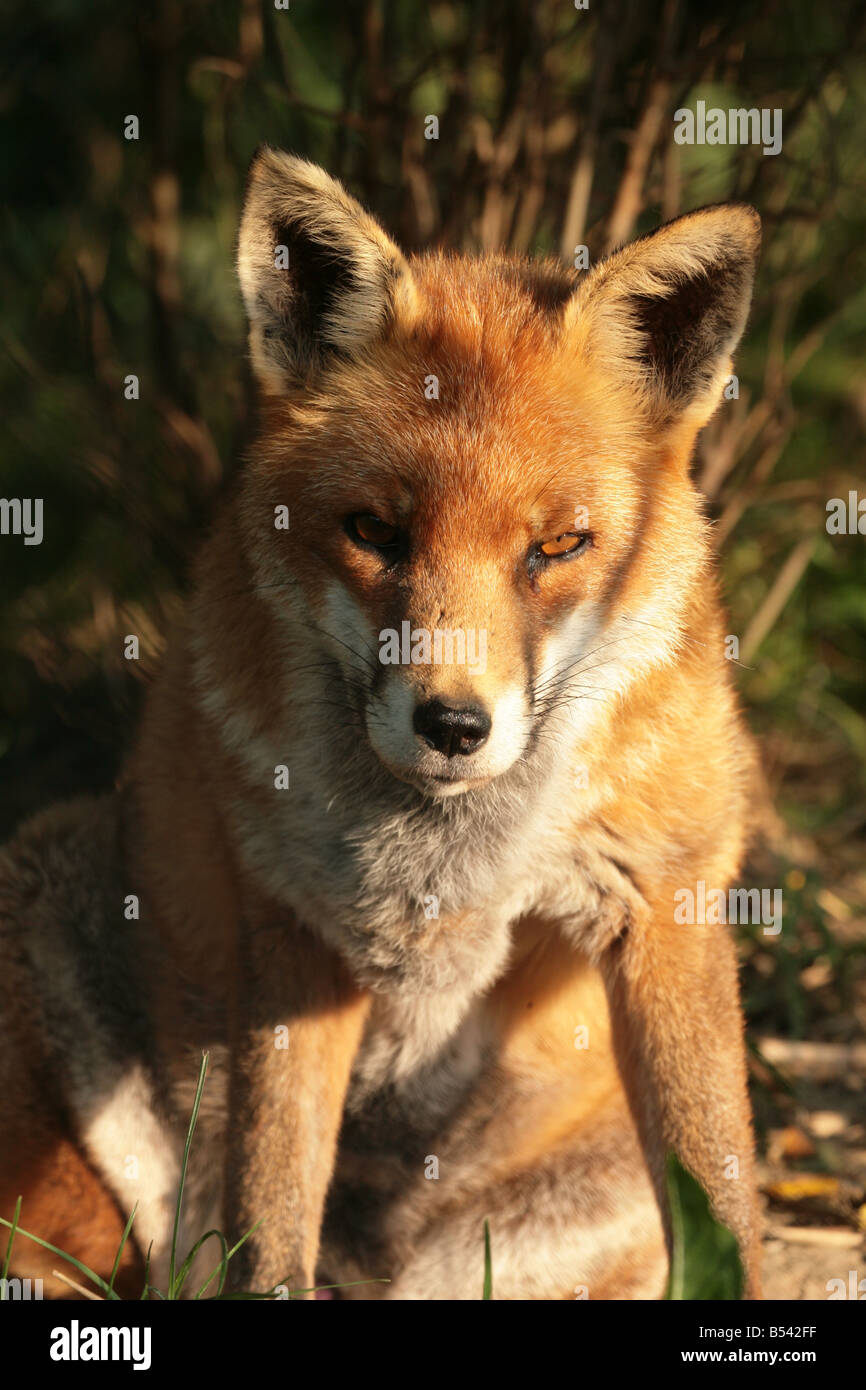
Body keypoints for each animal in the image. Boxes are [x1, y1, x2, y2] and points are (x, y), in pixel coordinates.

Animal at [0, 149, 763, 1300]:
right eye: (374, 531)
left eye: (557, 546)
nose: (452, 723)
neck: (451, 856)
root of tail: (372, 1262)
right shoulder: (294, 929)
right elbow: (270, 1217)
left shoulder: (663, 894)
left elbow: (724, 1211)